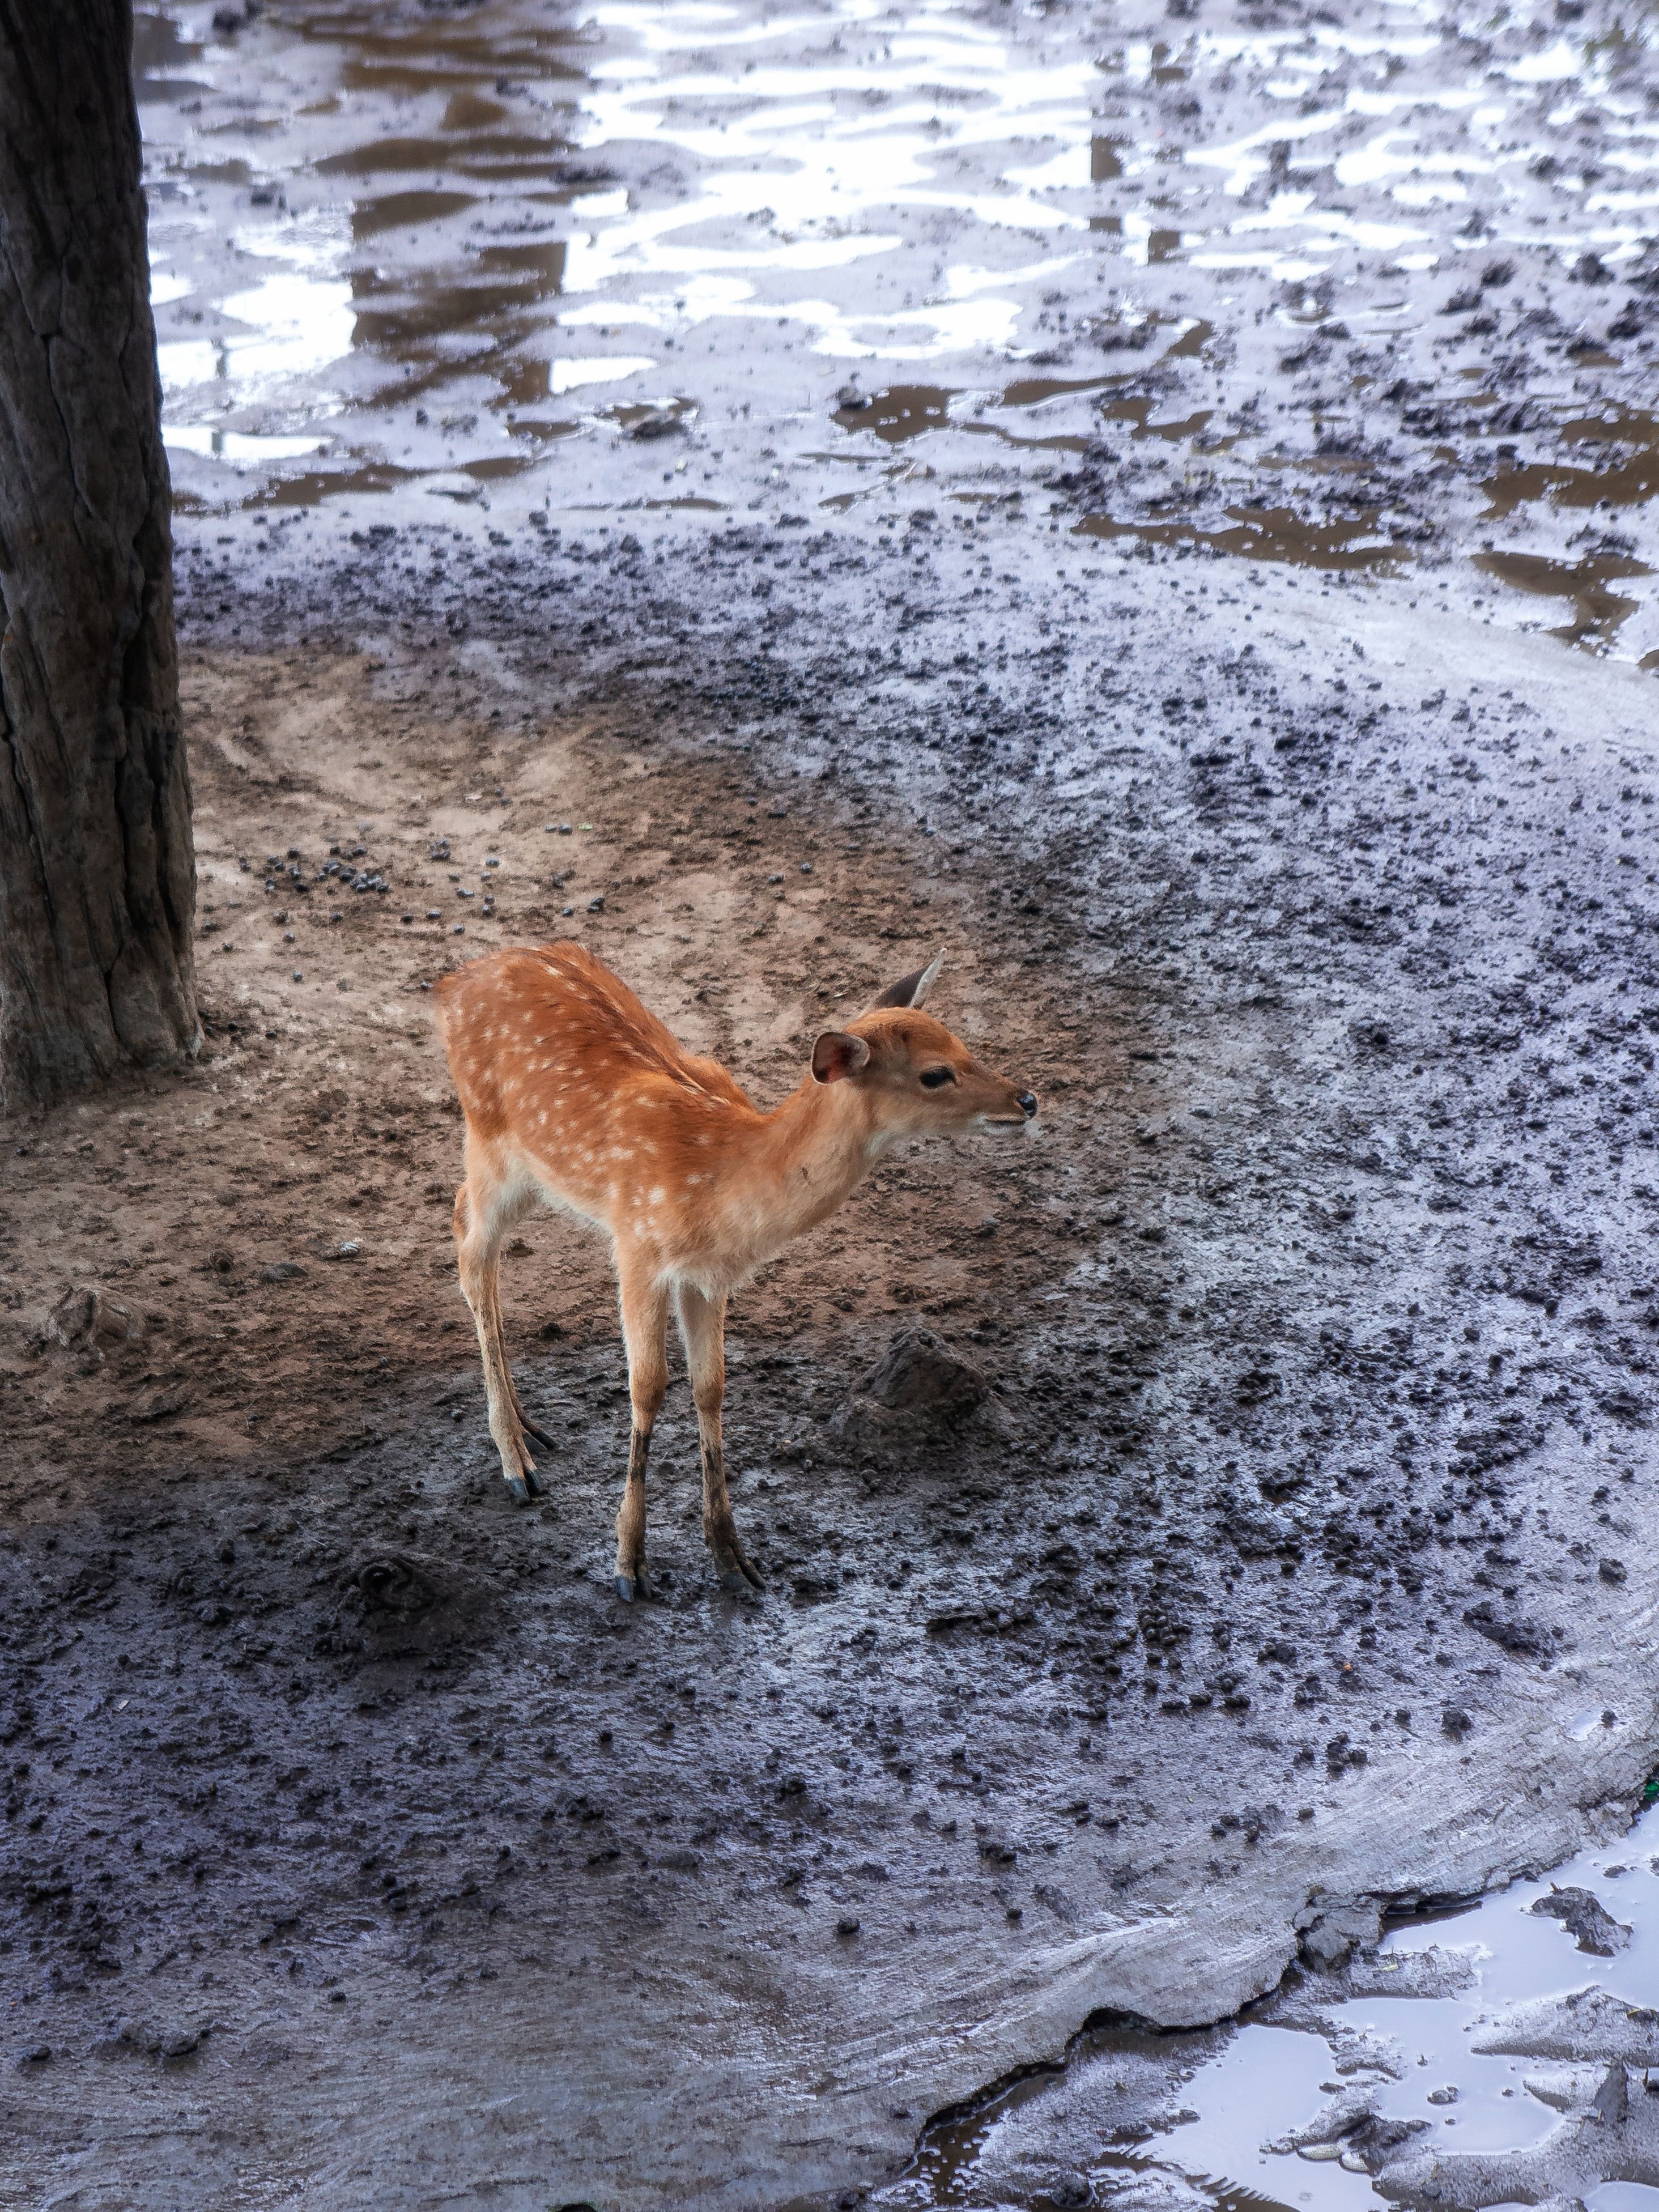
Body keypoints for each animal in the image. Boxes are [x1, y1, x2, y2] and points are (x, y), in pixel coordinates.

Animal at [433, 944, 1036, 1601]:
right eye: (934, 1073)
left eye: (964, 1045)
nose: (1027, 1100)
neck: (723, 1181)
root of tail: (453, 983)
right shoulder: (637, 1244)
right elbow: (647, 1386)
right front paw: (630, 1566)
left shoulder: (708, 1275)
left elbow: (711, 1386)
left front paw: (732, 1558)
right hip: (491, 1139)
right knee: (469, 1242)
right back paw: (517, 1463)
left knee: (471, 1234)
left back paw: (527, 1428)